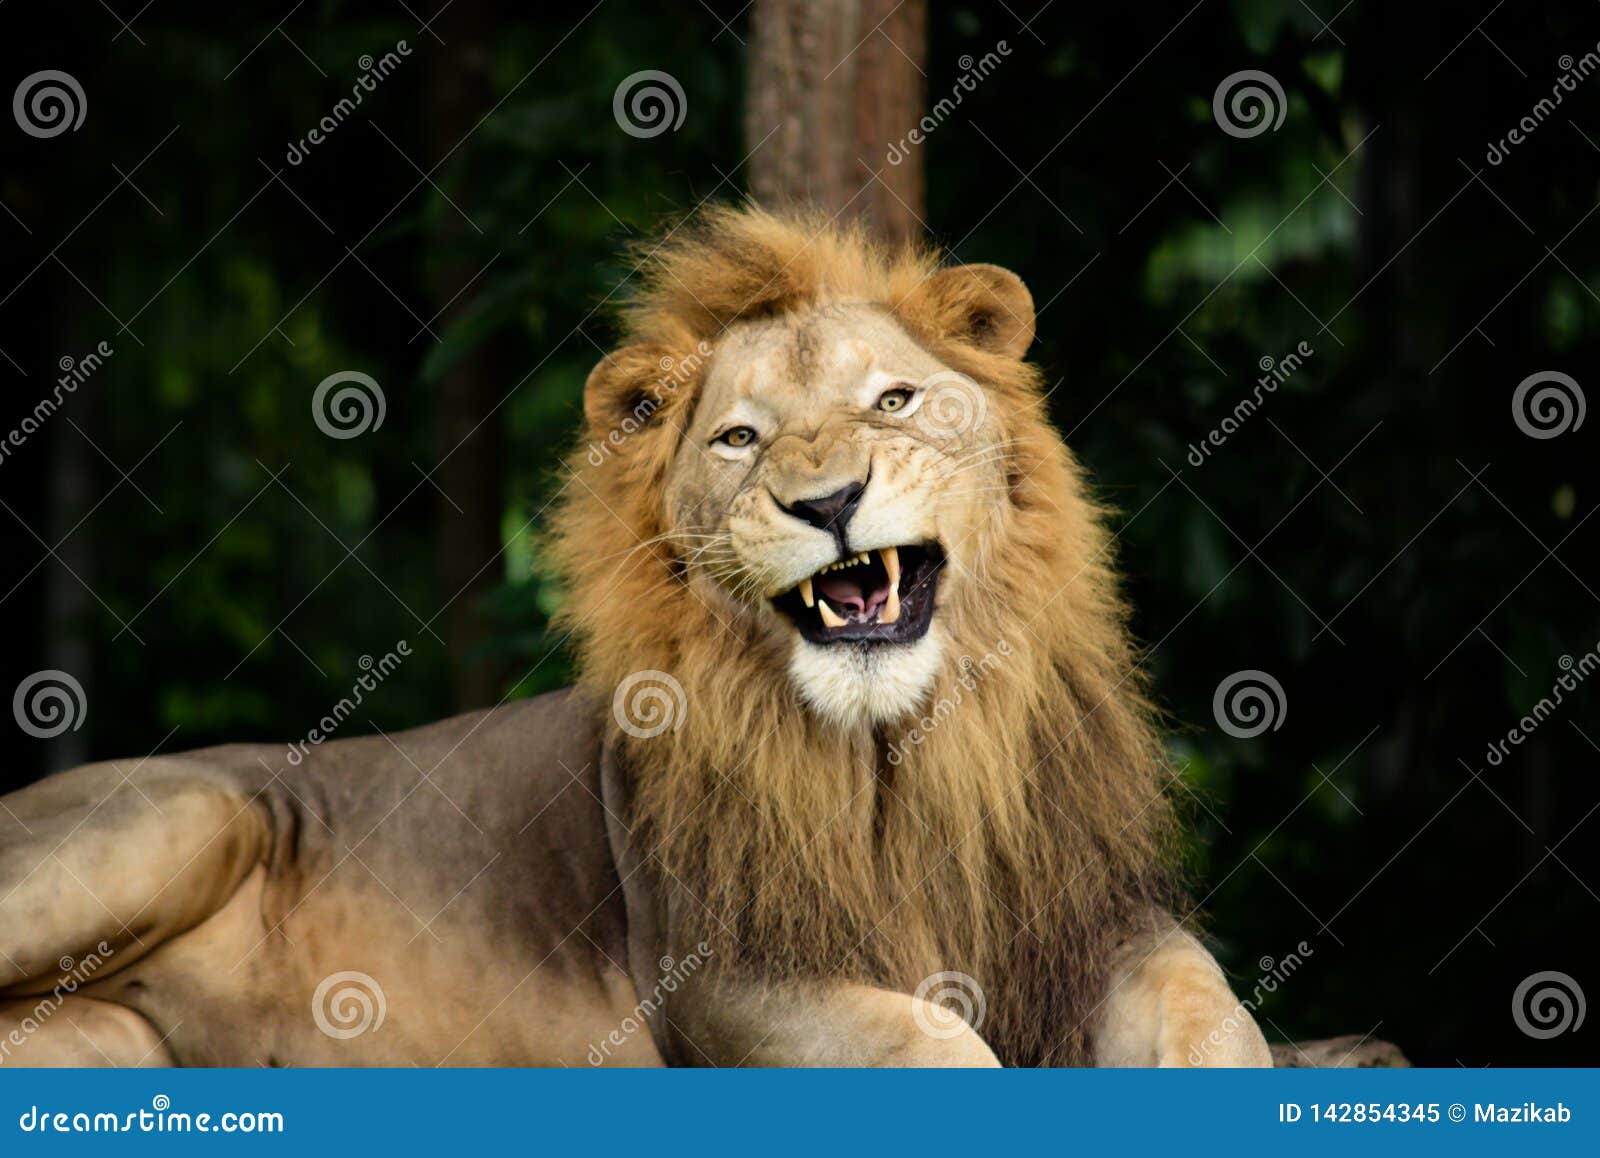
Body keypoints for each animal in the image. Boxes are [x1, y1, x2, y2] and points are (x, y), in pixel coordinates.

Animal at [0, 206, 1270, 1068]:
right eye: (740, 440)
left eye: (893, 402)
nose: (827, 502)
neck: (897, 750)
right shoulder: (727, 976)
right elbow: (935, 1043)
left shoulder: (1099, 919)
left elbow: (1218, 1017)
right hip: (186, 817)